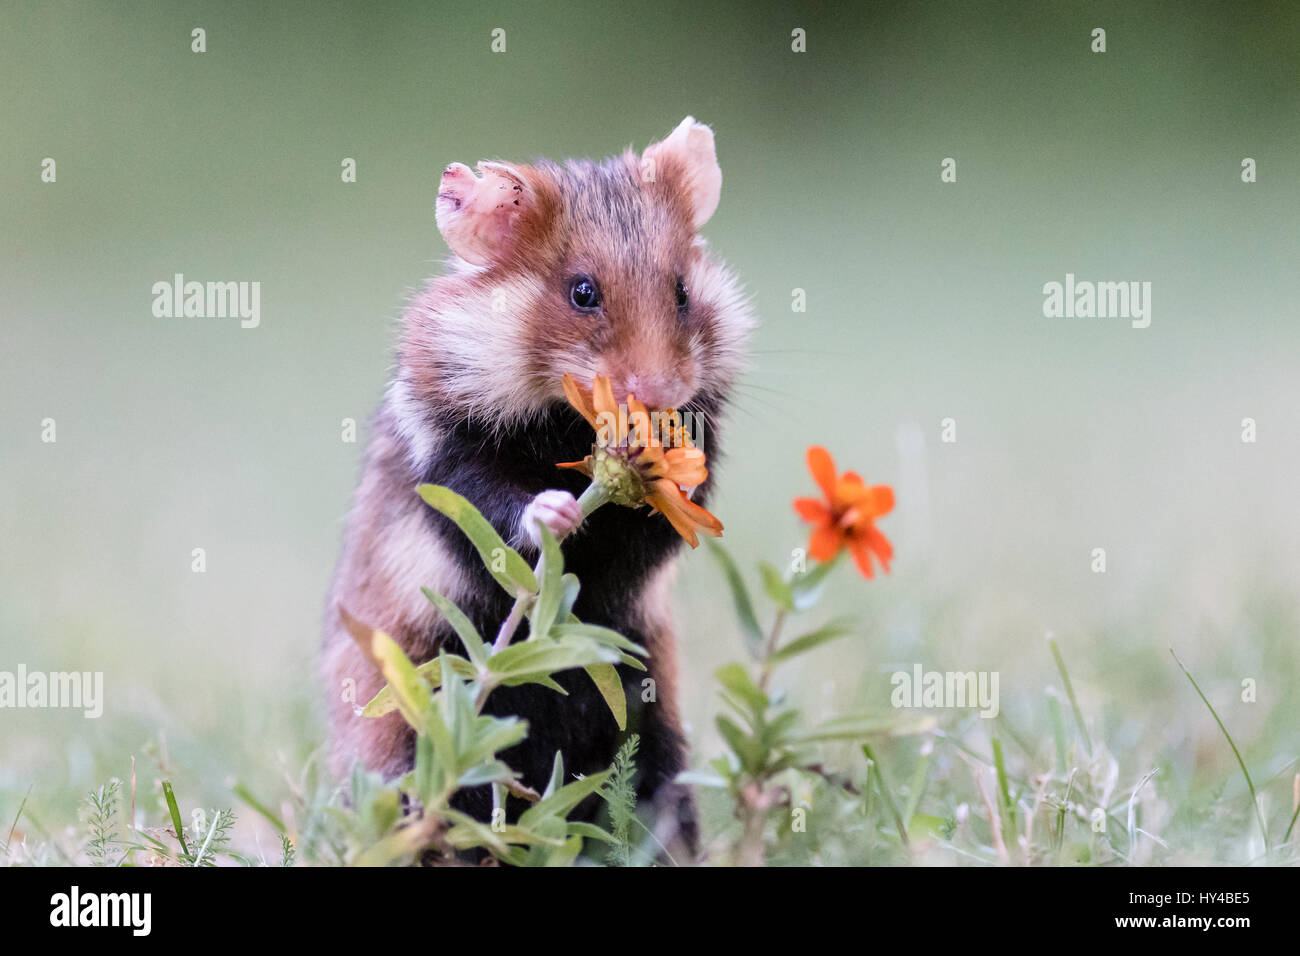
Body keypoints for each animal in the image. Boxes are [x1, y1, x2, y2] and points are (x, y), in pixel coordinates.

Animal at [322, 117, 754, 854]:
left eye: (681, 291)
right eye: (582, 292)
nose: (659, 397)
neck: (563, 423)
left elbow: (665, 524)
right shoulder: (447, 460)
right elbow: (493, 507)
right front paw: (554, 514)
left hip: (653, 725)